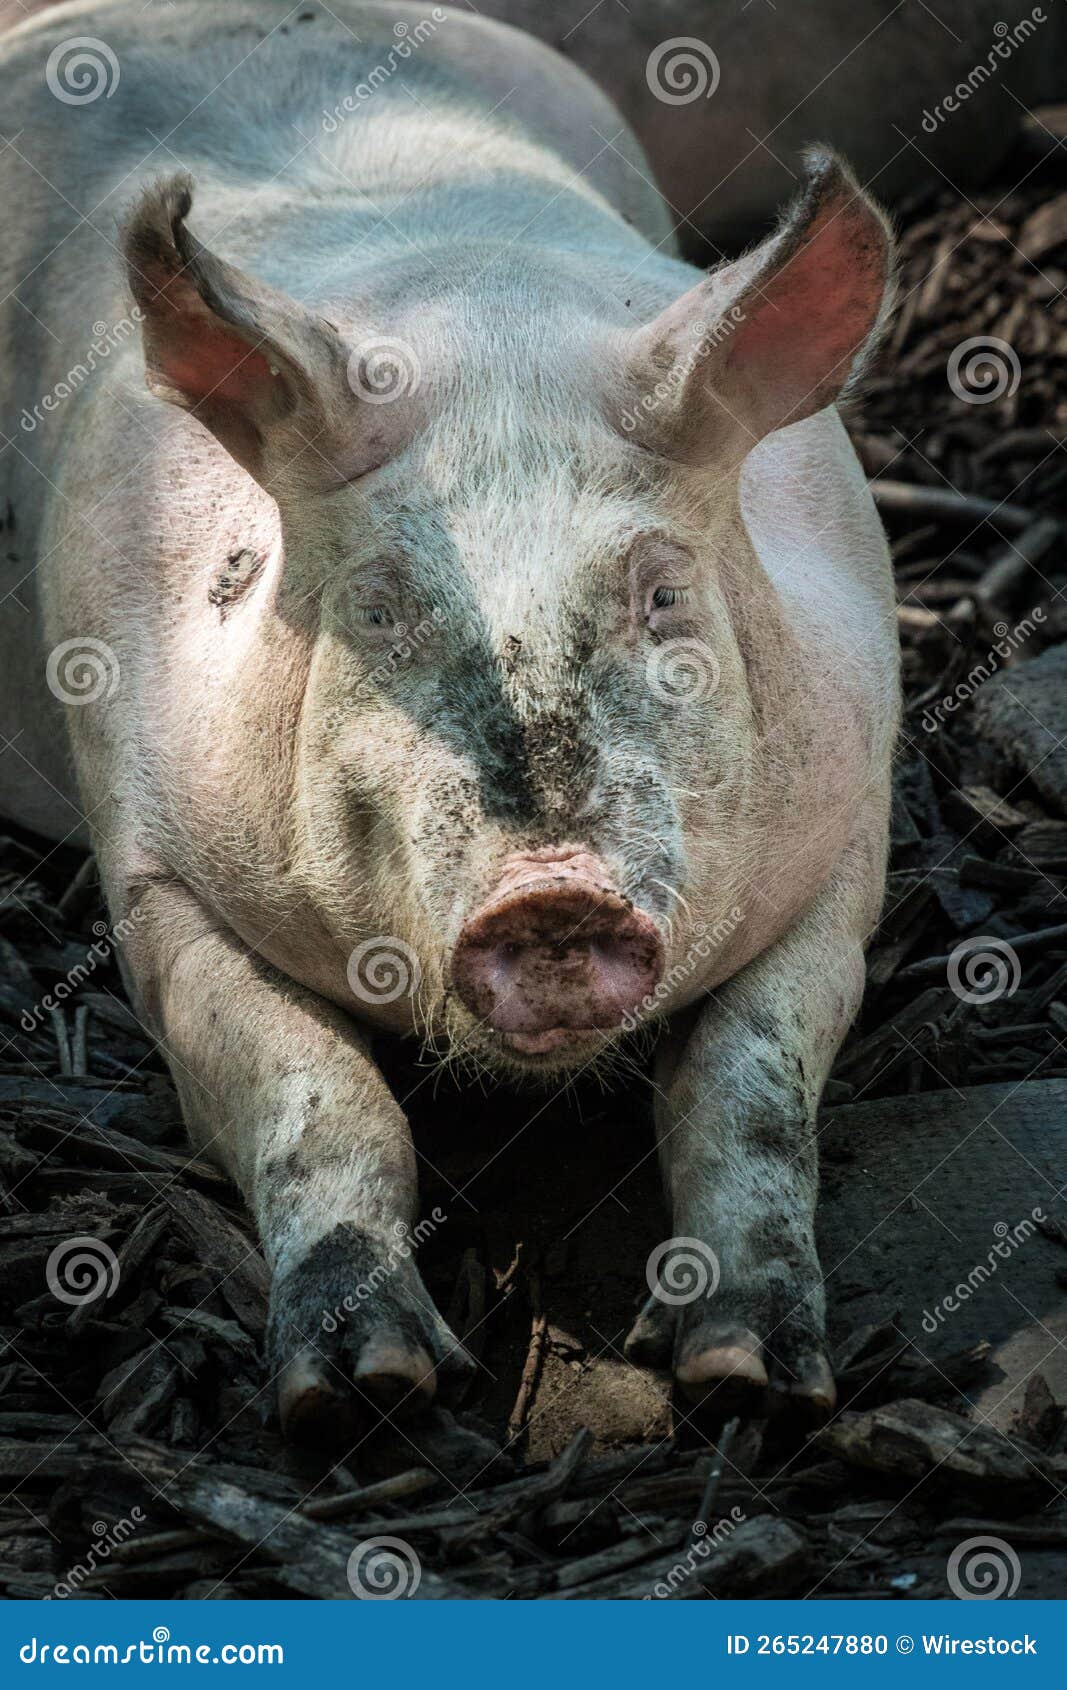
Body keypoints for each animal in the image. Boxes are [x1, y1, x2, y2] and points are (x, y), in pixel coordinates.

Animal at [0, 0, 899, 1447]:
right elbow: (321, 1093)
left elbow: (747, 1084)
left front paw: (748, 1381)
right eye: (379, 607)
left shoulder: (850, 836)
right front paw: (361, 1390)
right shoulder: (148, 866)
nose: (552, 893)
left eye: (659, 593)